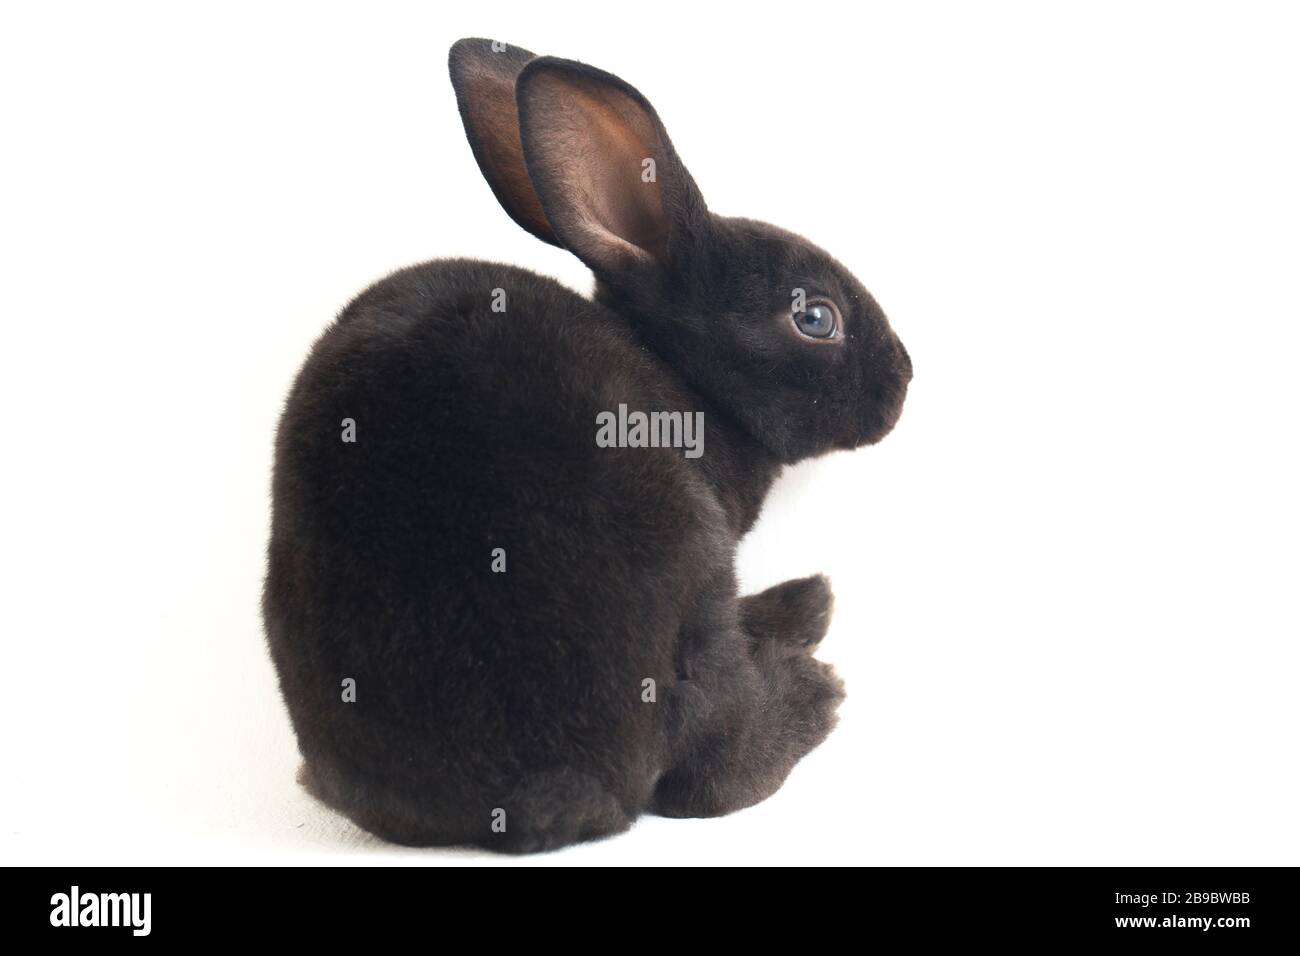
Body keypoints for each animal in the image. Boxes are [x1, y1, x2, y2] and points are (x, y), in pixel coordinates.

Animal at [262, 37, 912, 853]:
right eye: (816, 318)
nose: (906, 378)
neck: (681, 376)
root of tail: (530, 801)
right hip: (691, 568)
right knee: (709, 768)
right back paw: (811, 674)